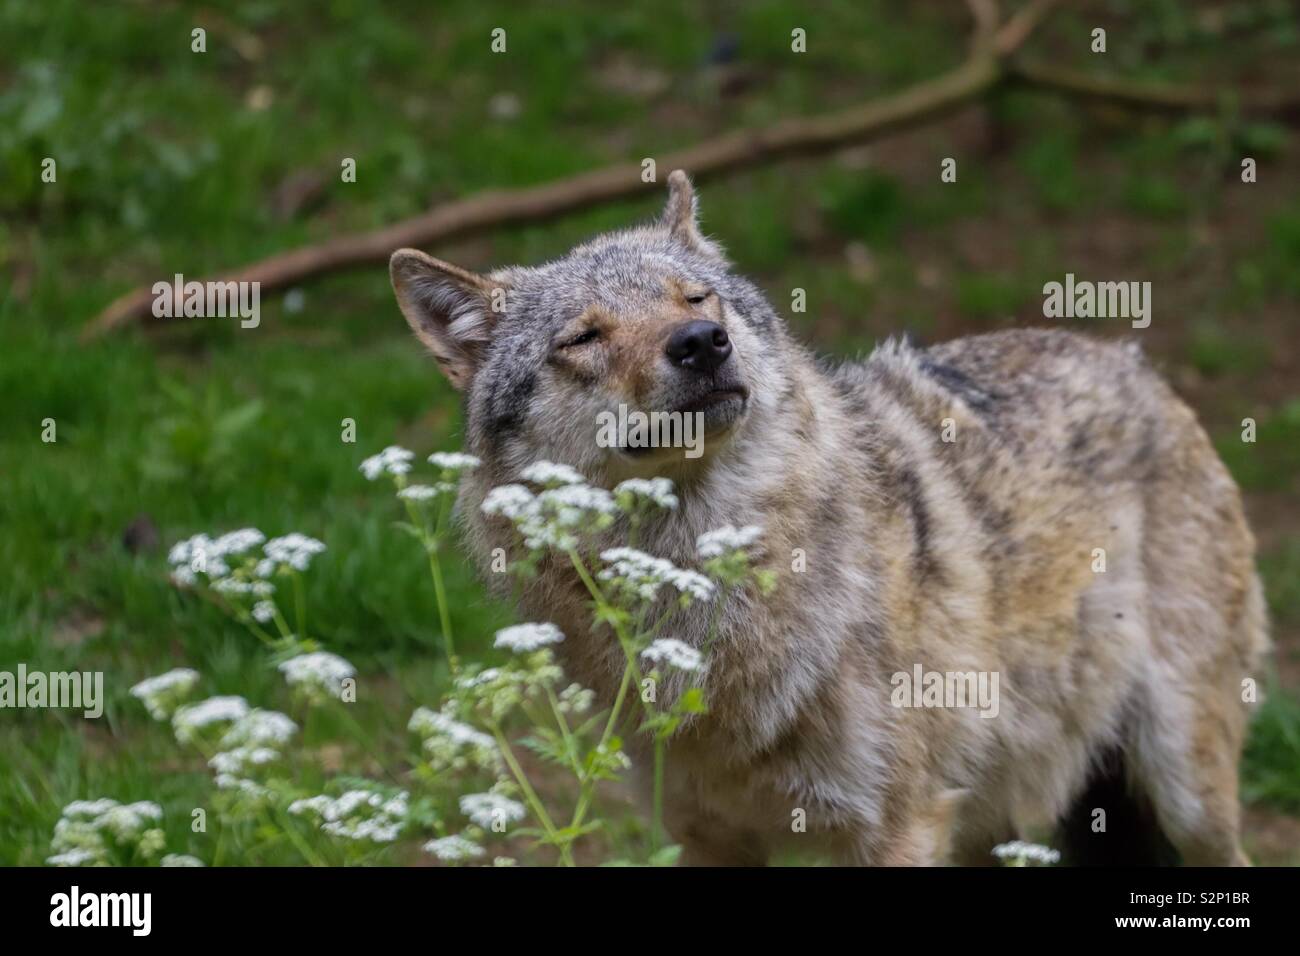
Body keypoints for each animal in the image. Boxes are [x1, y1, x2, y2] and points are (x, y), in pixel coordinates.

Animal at [389, 171, 1267, 866]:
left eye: (695, 298)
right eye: (584, 336)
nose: (702, 342)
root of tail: (1134, 364)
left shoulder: (899, 827)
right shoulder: (706, 837)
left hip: (1186, 795)